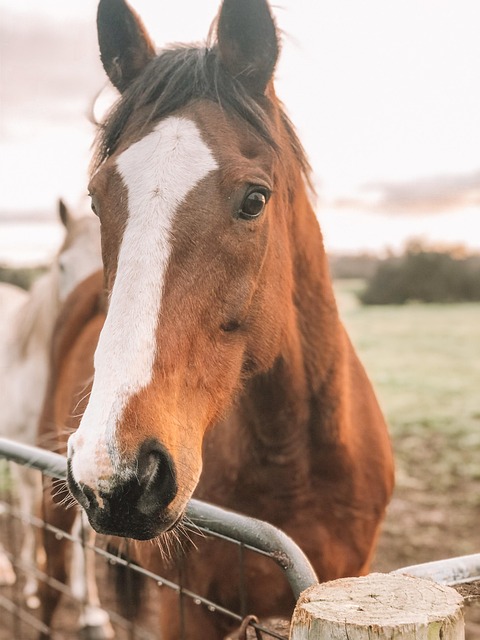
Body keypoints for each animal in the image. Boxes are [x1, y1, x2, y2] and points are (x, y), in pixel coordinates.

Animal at [0, 200, 111, 635]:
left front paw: (90, 608)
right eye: (61, 265)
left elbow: (84, 532)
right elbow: (33, 515)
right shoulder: (30, 456)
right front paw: (34, 581)